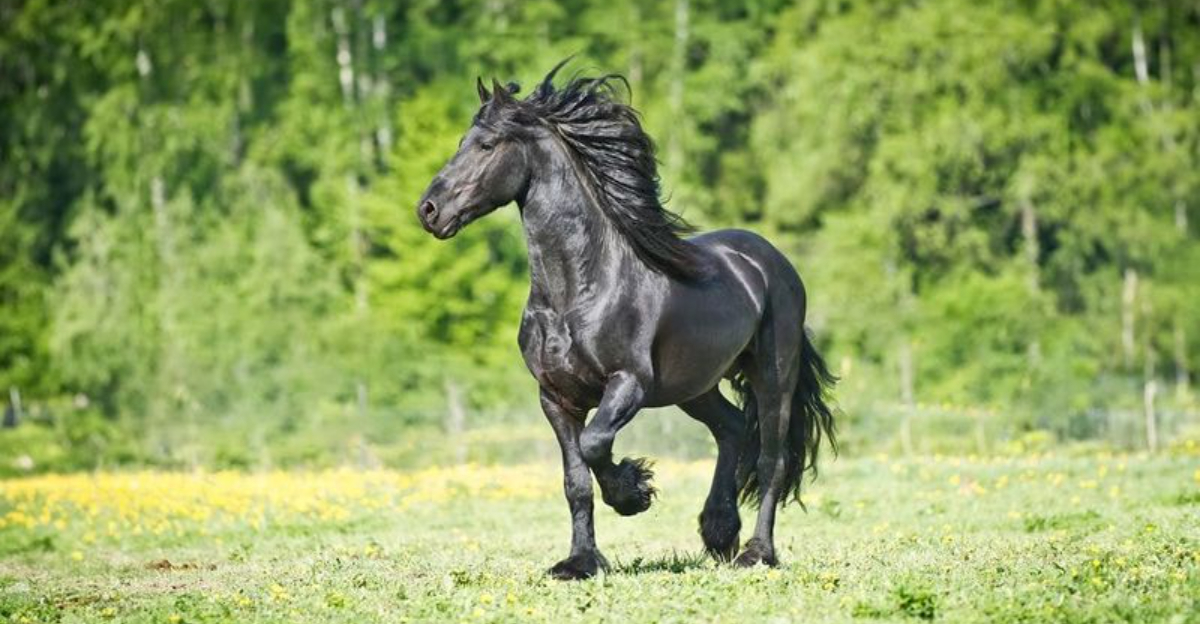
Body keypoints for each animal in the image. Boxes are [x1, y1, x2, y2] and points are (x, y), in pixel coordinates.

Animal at [416, 60, 837, 580]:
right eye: (462, 141)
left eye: (487, 145)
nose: (428, 210)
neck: (577, 293)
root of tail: (771, 260)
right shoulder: (555, 398)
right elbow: (575, 481)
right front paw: (579, 562)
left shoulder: (629, 384)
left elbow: (596, 444)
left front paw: (633, 493)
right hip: (695, 386)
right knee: (732, 428)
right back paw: (718, 531)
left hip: (773, 376)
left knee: (771, 459)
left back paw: (756, 553)